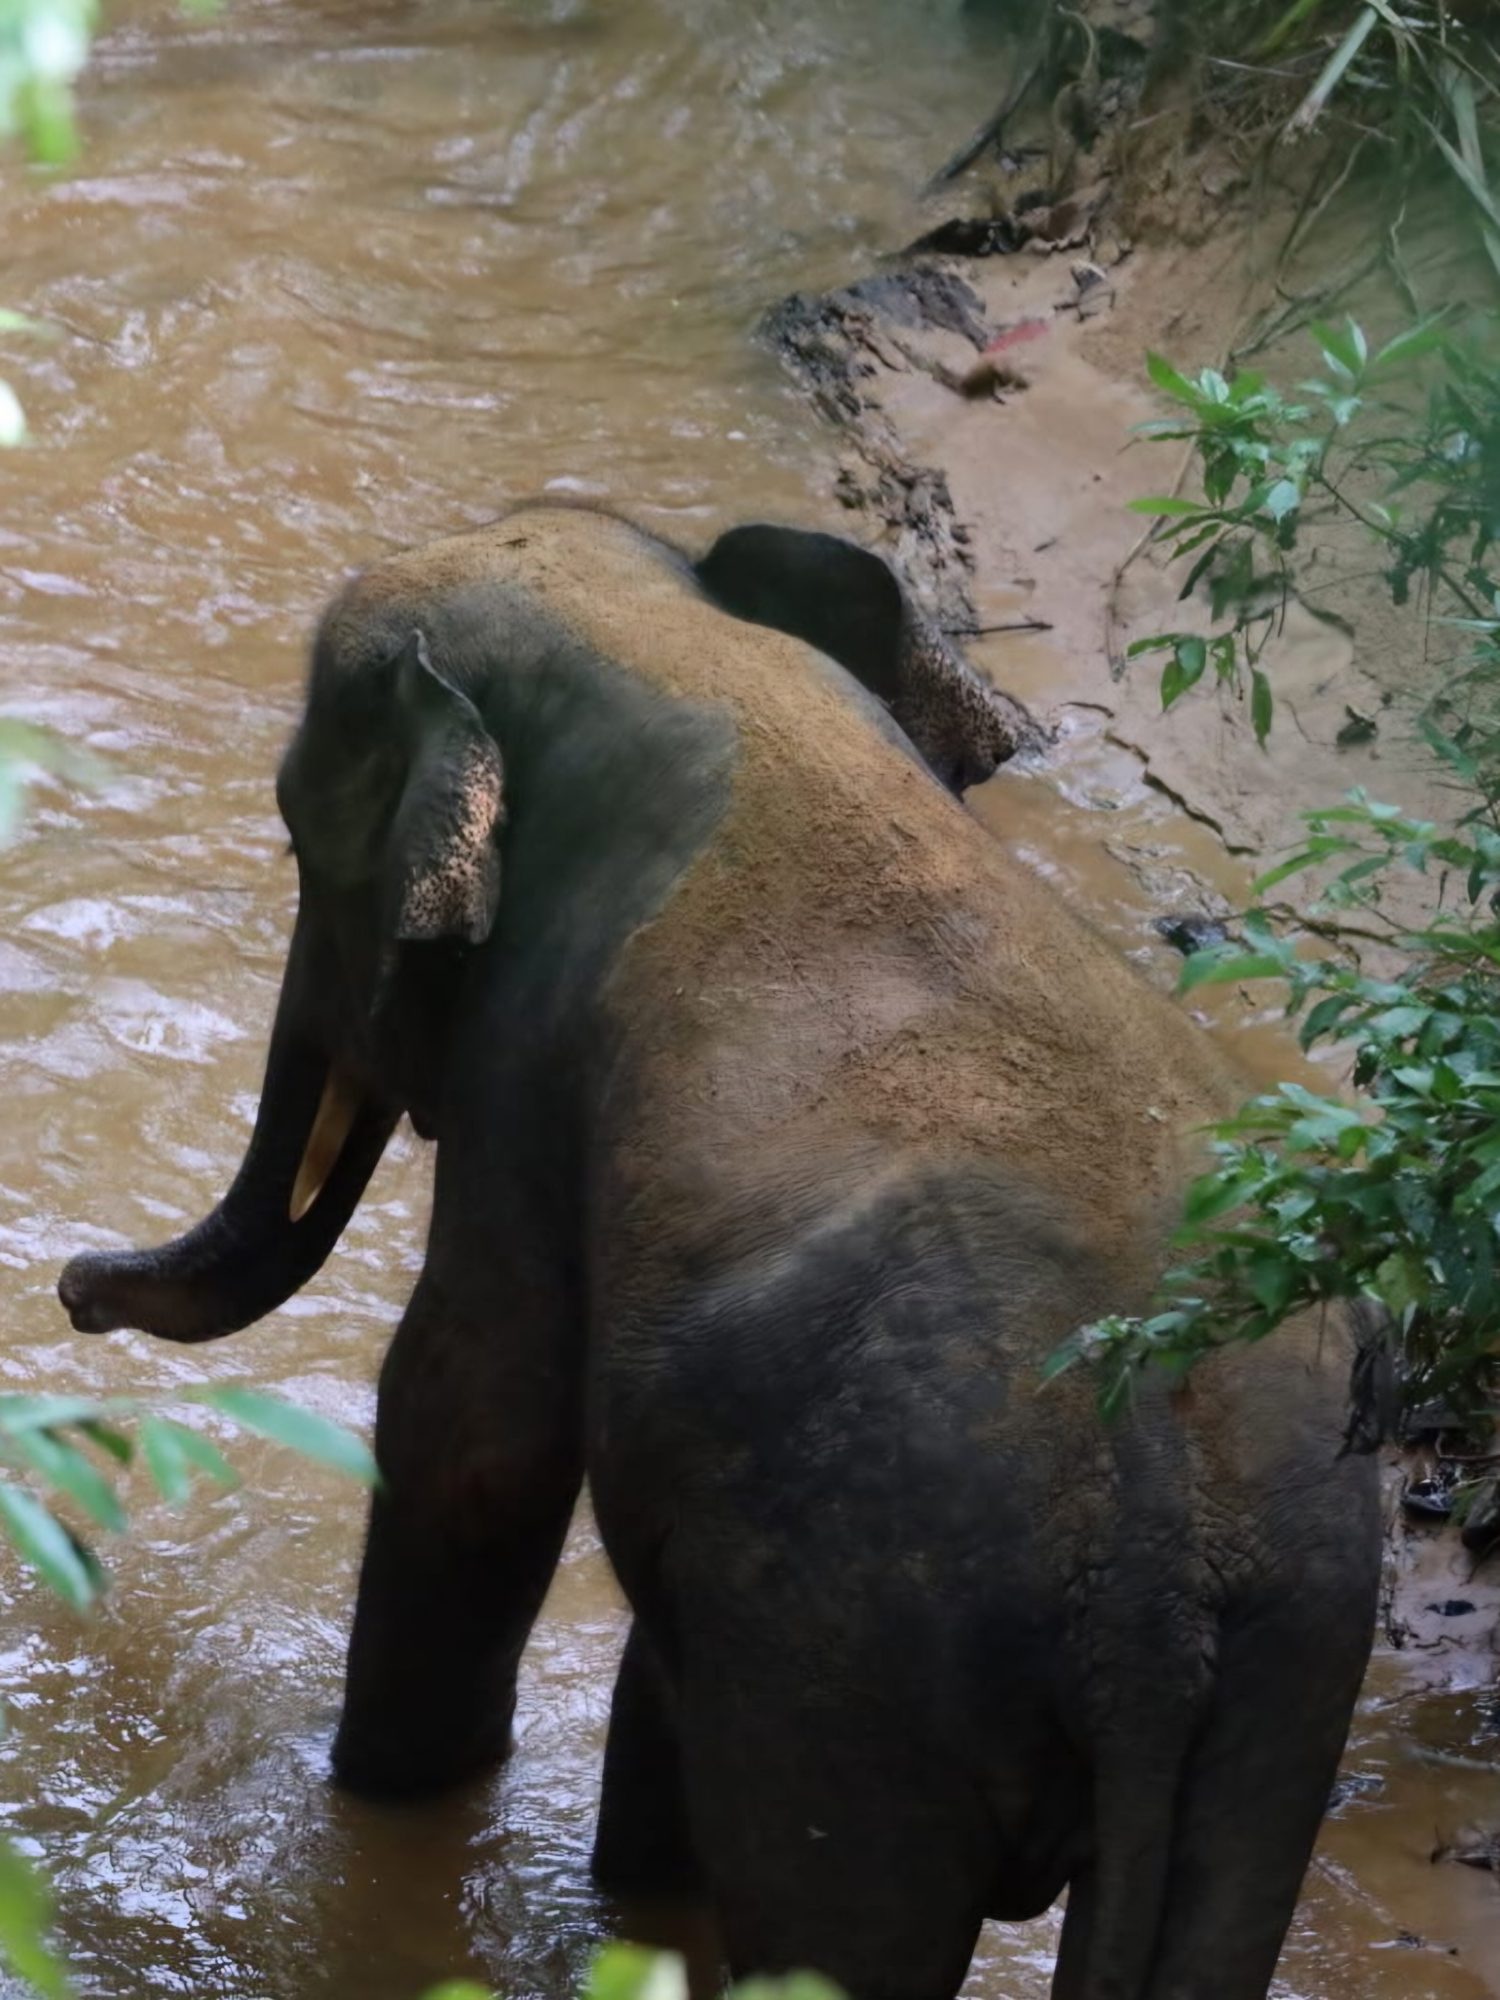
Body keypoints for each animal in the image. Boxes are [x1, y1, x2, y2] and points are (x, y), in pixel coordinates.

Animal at [59, 502, 1381, 2000]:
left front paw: (386, 1800)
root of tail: (1151, 1597)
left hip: (873, 1666)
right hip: (1282, 1669)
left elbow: (472, 1426)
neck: (689, 644)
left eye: (297, 844)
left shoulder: (532, 1049)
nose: (69, 1290)